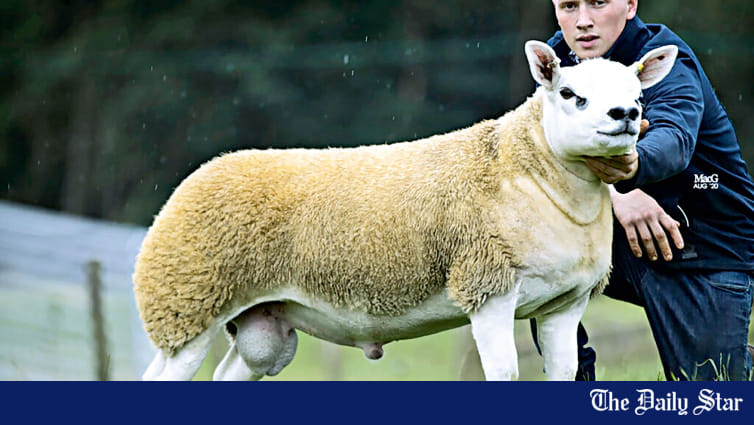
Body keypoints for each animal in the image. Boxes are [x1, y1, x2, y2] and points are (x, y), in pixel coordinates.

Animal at [133, 41, 678, 381]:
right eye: (569, 94)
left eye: (639, 94)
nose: (626, 115)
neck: (531, 171)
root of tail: (196, 179)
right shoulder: (488, 286)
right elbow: (505, 372)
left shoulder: (567, 303)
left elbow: (563, 372)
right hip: (184, 305)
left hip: (259, 322)